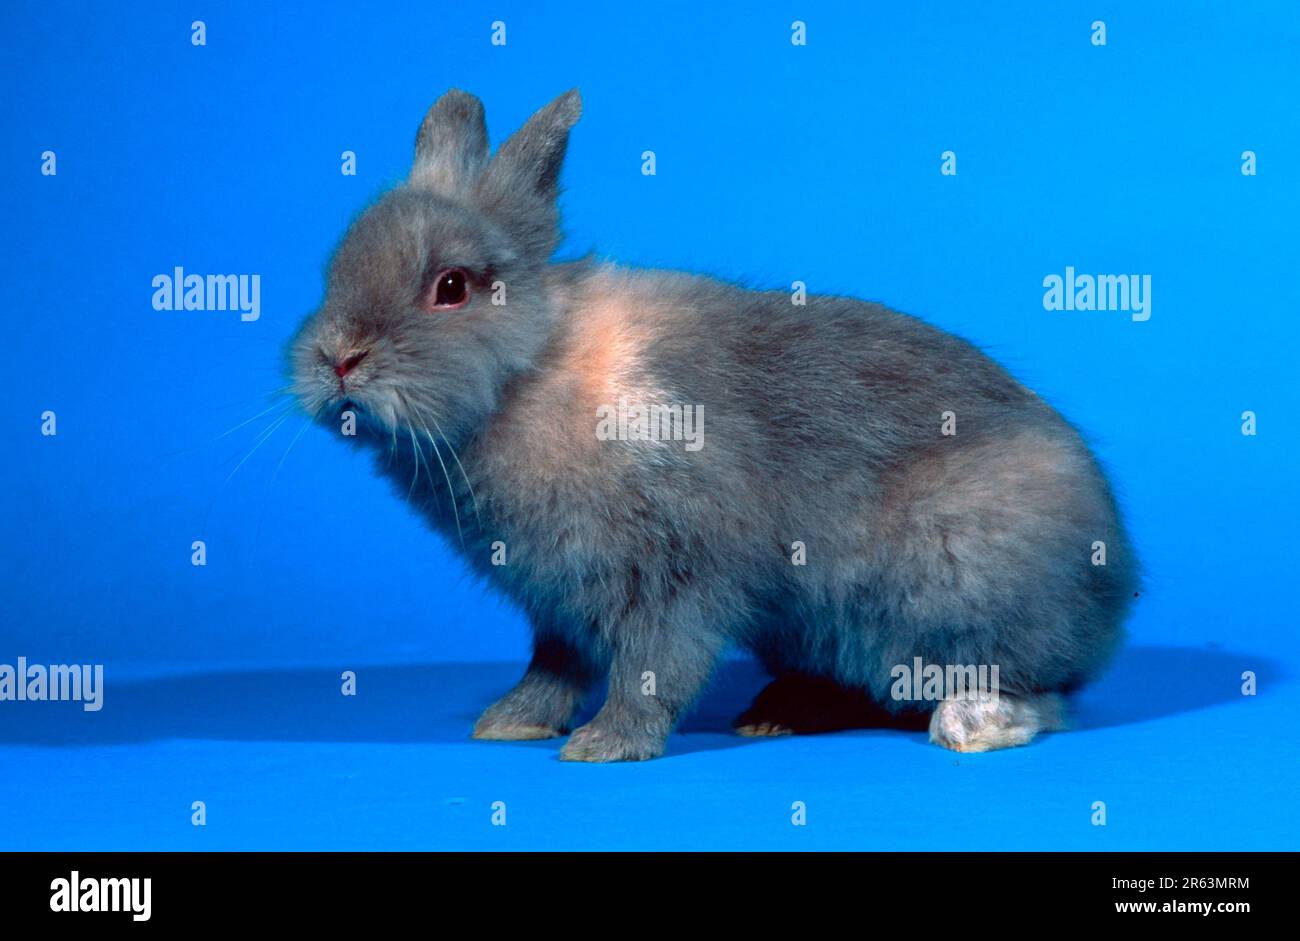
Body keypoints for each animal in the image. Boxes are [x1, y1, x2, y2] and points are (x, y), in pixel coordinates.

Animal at [289, 89, 1138, 761]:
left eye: (452, 286)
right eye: (338, 265)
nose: (337, 358)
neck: (532, 375)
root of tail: (1118, 574)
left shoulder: (676, 575)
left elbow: (655, 666)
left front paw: (605, 745)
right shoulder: (559, 598)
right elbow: (555, 664)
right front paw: (510, 722)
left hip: (954, 587)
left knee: (1042, 691)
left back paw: (968, 721)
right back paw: (777, 716)